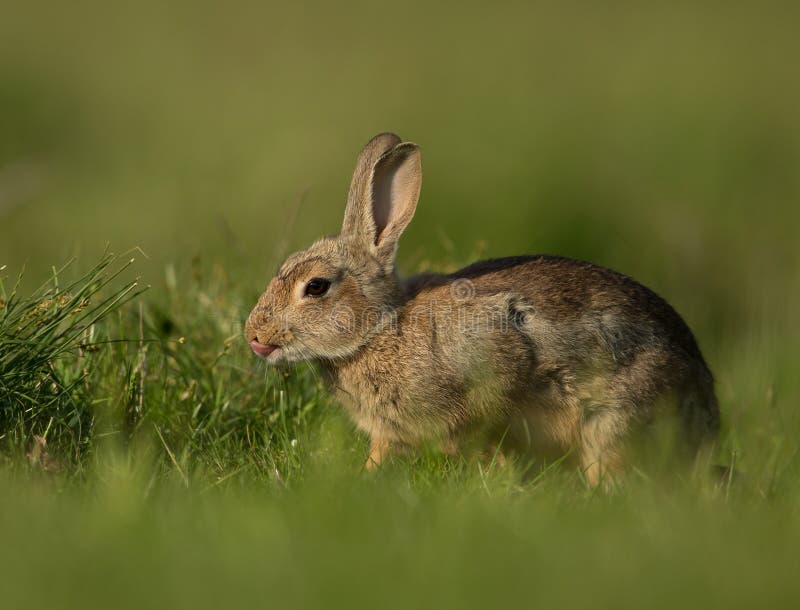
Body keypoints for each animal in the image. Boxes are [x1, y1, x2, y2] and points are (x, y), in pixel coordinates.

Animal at [245, 132, 720, 486]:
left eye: (316, 287)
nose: (254, 335)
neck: (380, 329)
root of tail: (707, 413)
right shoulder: (388, 432)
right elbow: (380, 456)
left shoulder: (494, 366)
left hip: (613, 418)